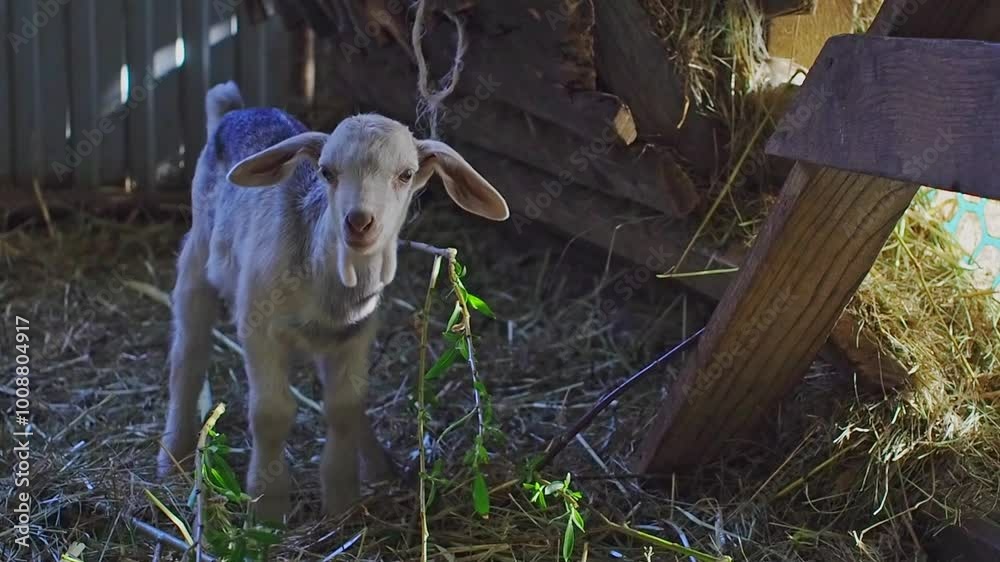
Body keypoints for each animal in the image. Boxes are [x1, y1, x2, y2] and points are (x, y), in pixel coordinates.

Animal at [158, 81, 509, 522]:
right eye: (327, 172)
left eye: (406, 174)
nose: (358, 222)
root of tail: (235, 109)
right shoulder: (258, 324)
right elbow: (271, 414)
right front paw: (267, 507)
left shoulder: (356, 333)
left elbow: (344, 408)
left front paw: (343, 501)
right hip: (198, 255)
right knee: (187, 354)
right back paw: (173, 452)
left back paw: (376, 464)